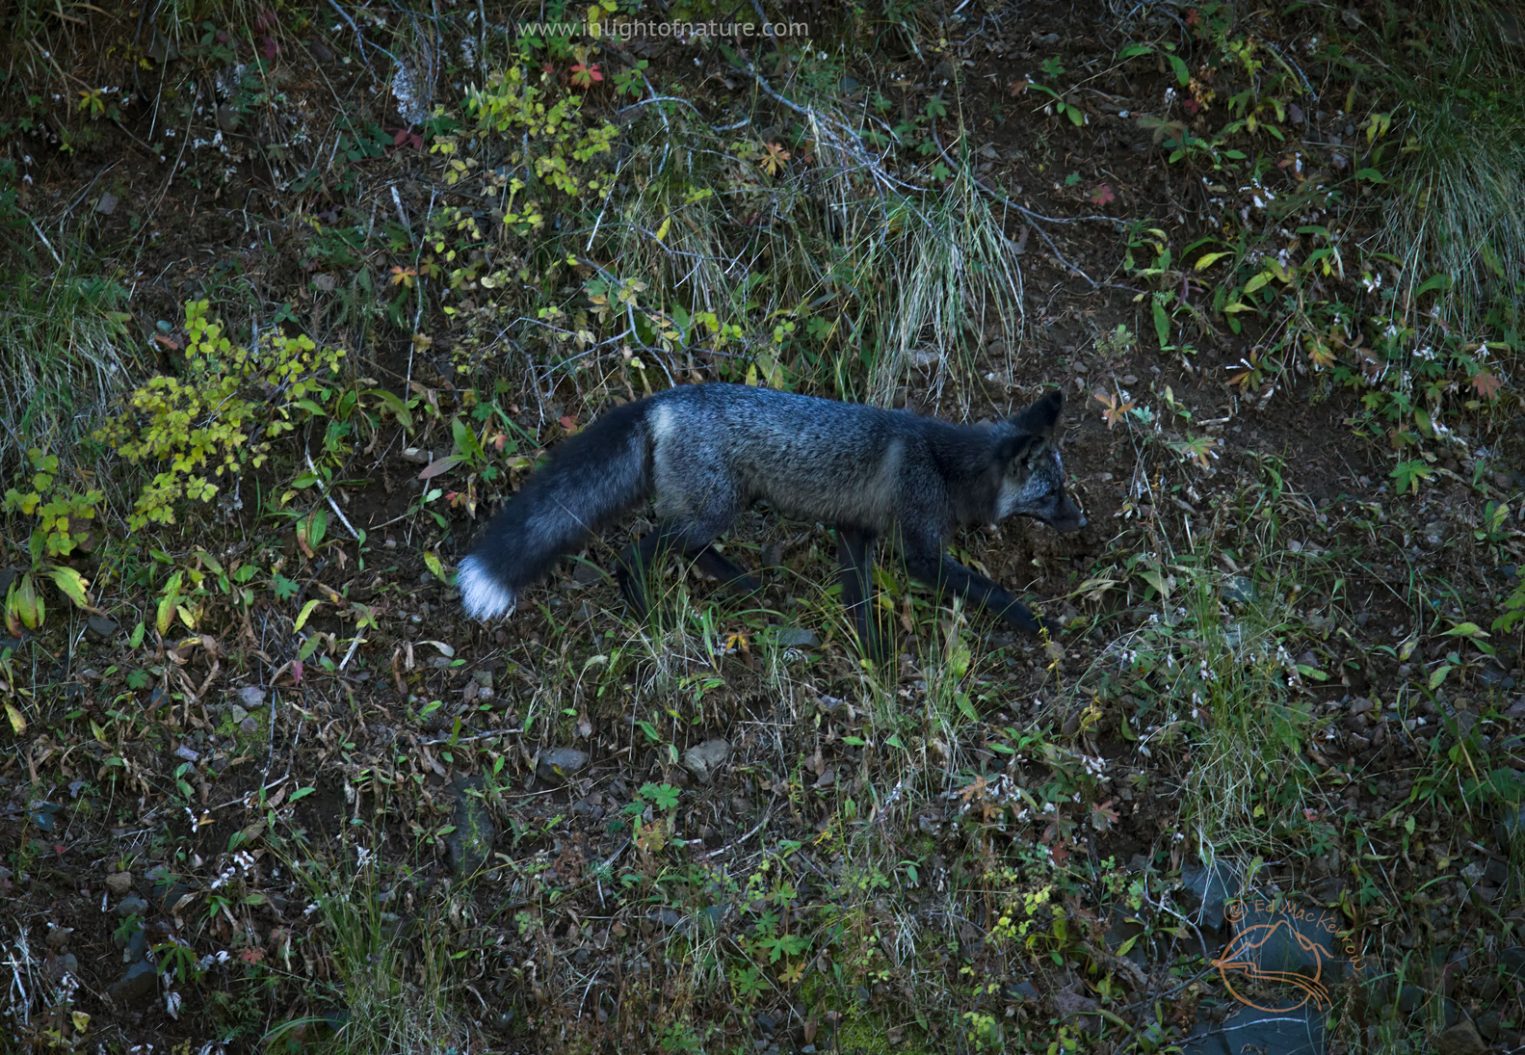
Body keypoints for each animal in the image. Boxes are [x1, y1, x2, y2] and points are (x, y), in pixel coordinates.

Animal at [457, 383, 1085, 659]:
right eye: (1054, 492)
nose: (1081, 520)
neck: (946, 462)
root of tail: (665, 398)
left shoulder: (855, 533)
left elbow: (858, 602)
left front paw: (873, 660)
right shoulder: (921, 553)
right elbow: (991, 592)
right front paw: (1041, 626)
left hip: (716, 508)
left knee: (685, 547)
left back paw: (744, 584)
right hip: (715, 509)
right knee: (636, 549)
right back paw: (643, 606)